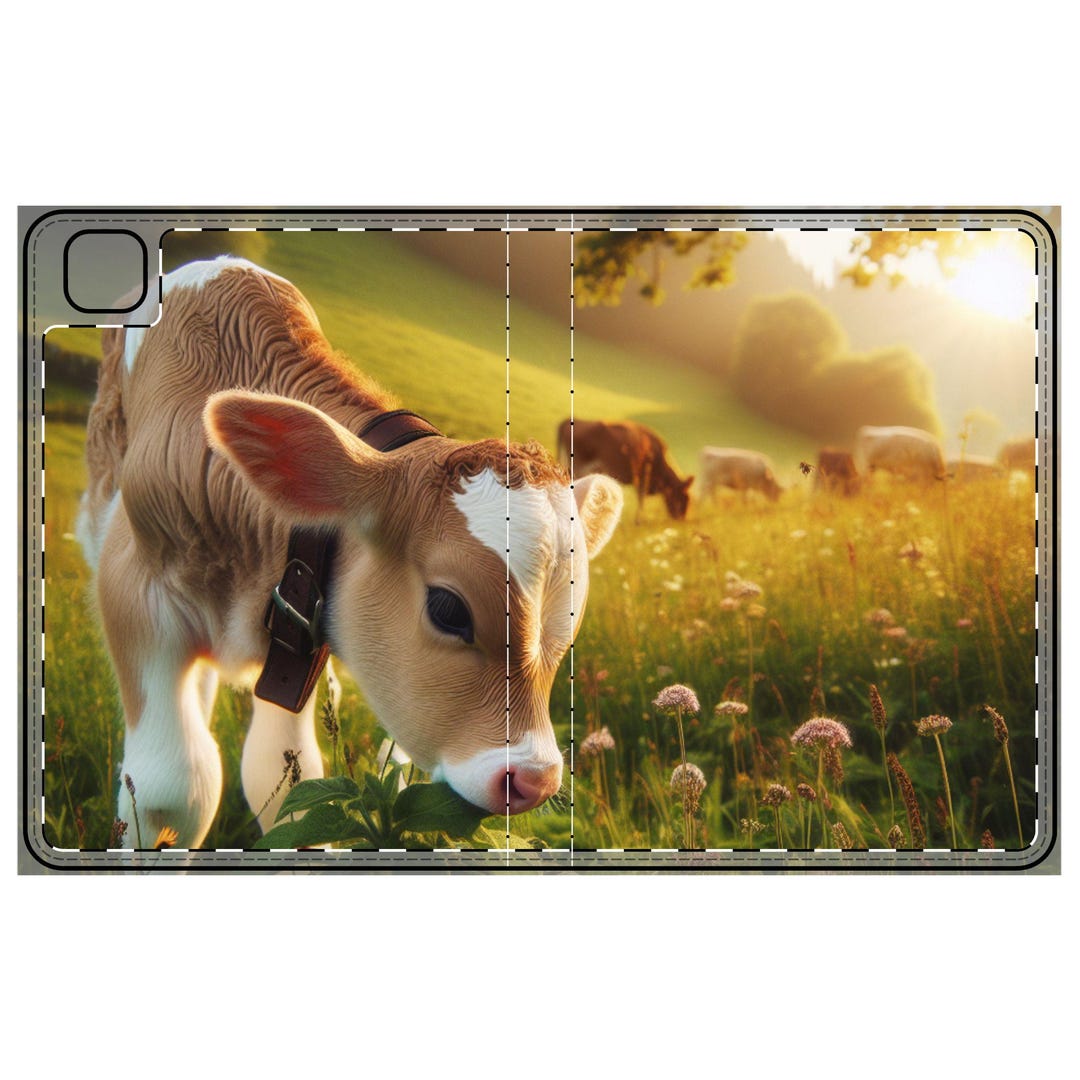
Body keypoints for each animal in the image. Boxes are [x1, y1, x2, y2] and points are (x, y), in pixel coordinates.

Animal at [78, 257, 623, 848]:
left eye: (568, 625)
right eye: (448, 609)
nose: (535, 780)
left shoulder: (301, 645)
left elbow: (288, 785)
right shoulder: (135, 585)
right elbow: (173, 794)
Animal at [556, 418, 692, 523]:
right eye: (684, 497)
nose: (682, 518)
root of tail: (568, 421)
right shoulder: (643, 474)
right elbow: (641, 497)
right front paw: (639, 520)